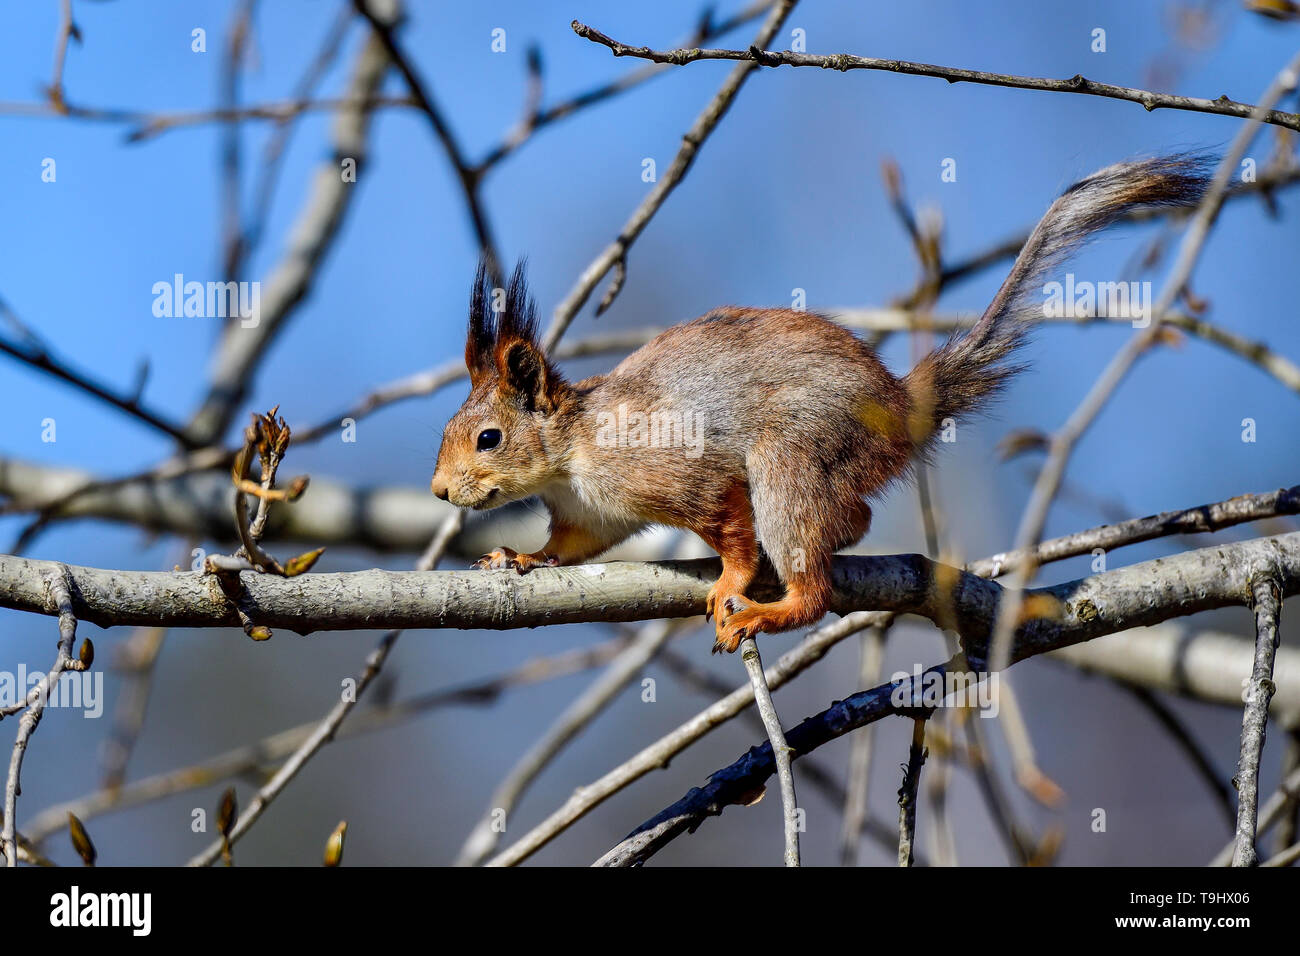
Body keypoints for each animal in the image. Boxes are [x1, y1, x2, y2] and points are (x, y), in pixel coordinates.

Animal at [431, 155, 1208, 653]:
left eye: (489, 438)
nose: (439, 492)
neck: (571, 451)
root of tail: (901, 406)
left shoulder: (671, 471)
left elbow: (727, 523)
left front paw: (731, 580)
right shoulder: (590, 516)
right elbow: (570, 547)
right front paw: (519, 558)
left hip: (791, 453)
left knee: (811, 578)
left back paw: (768, 611)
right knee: (854, 514)